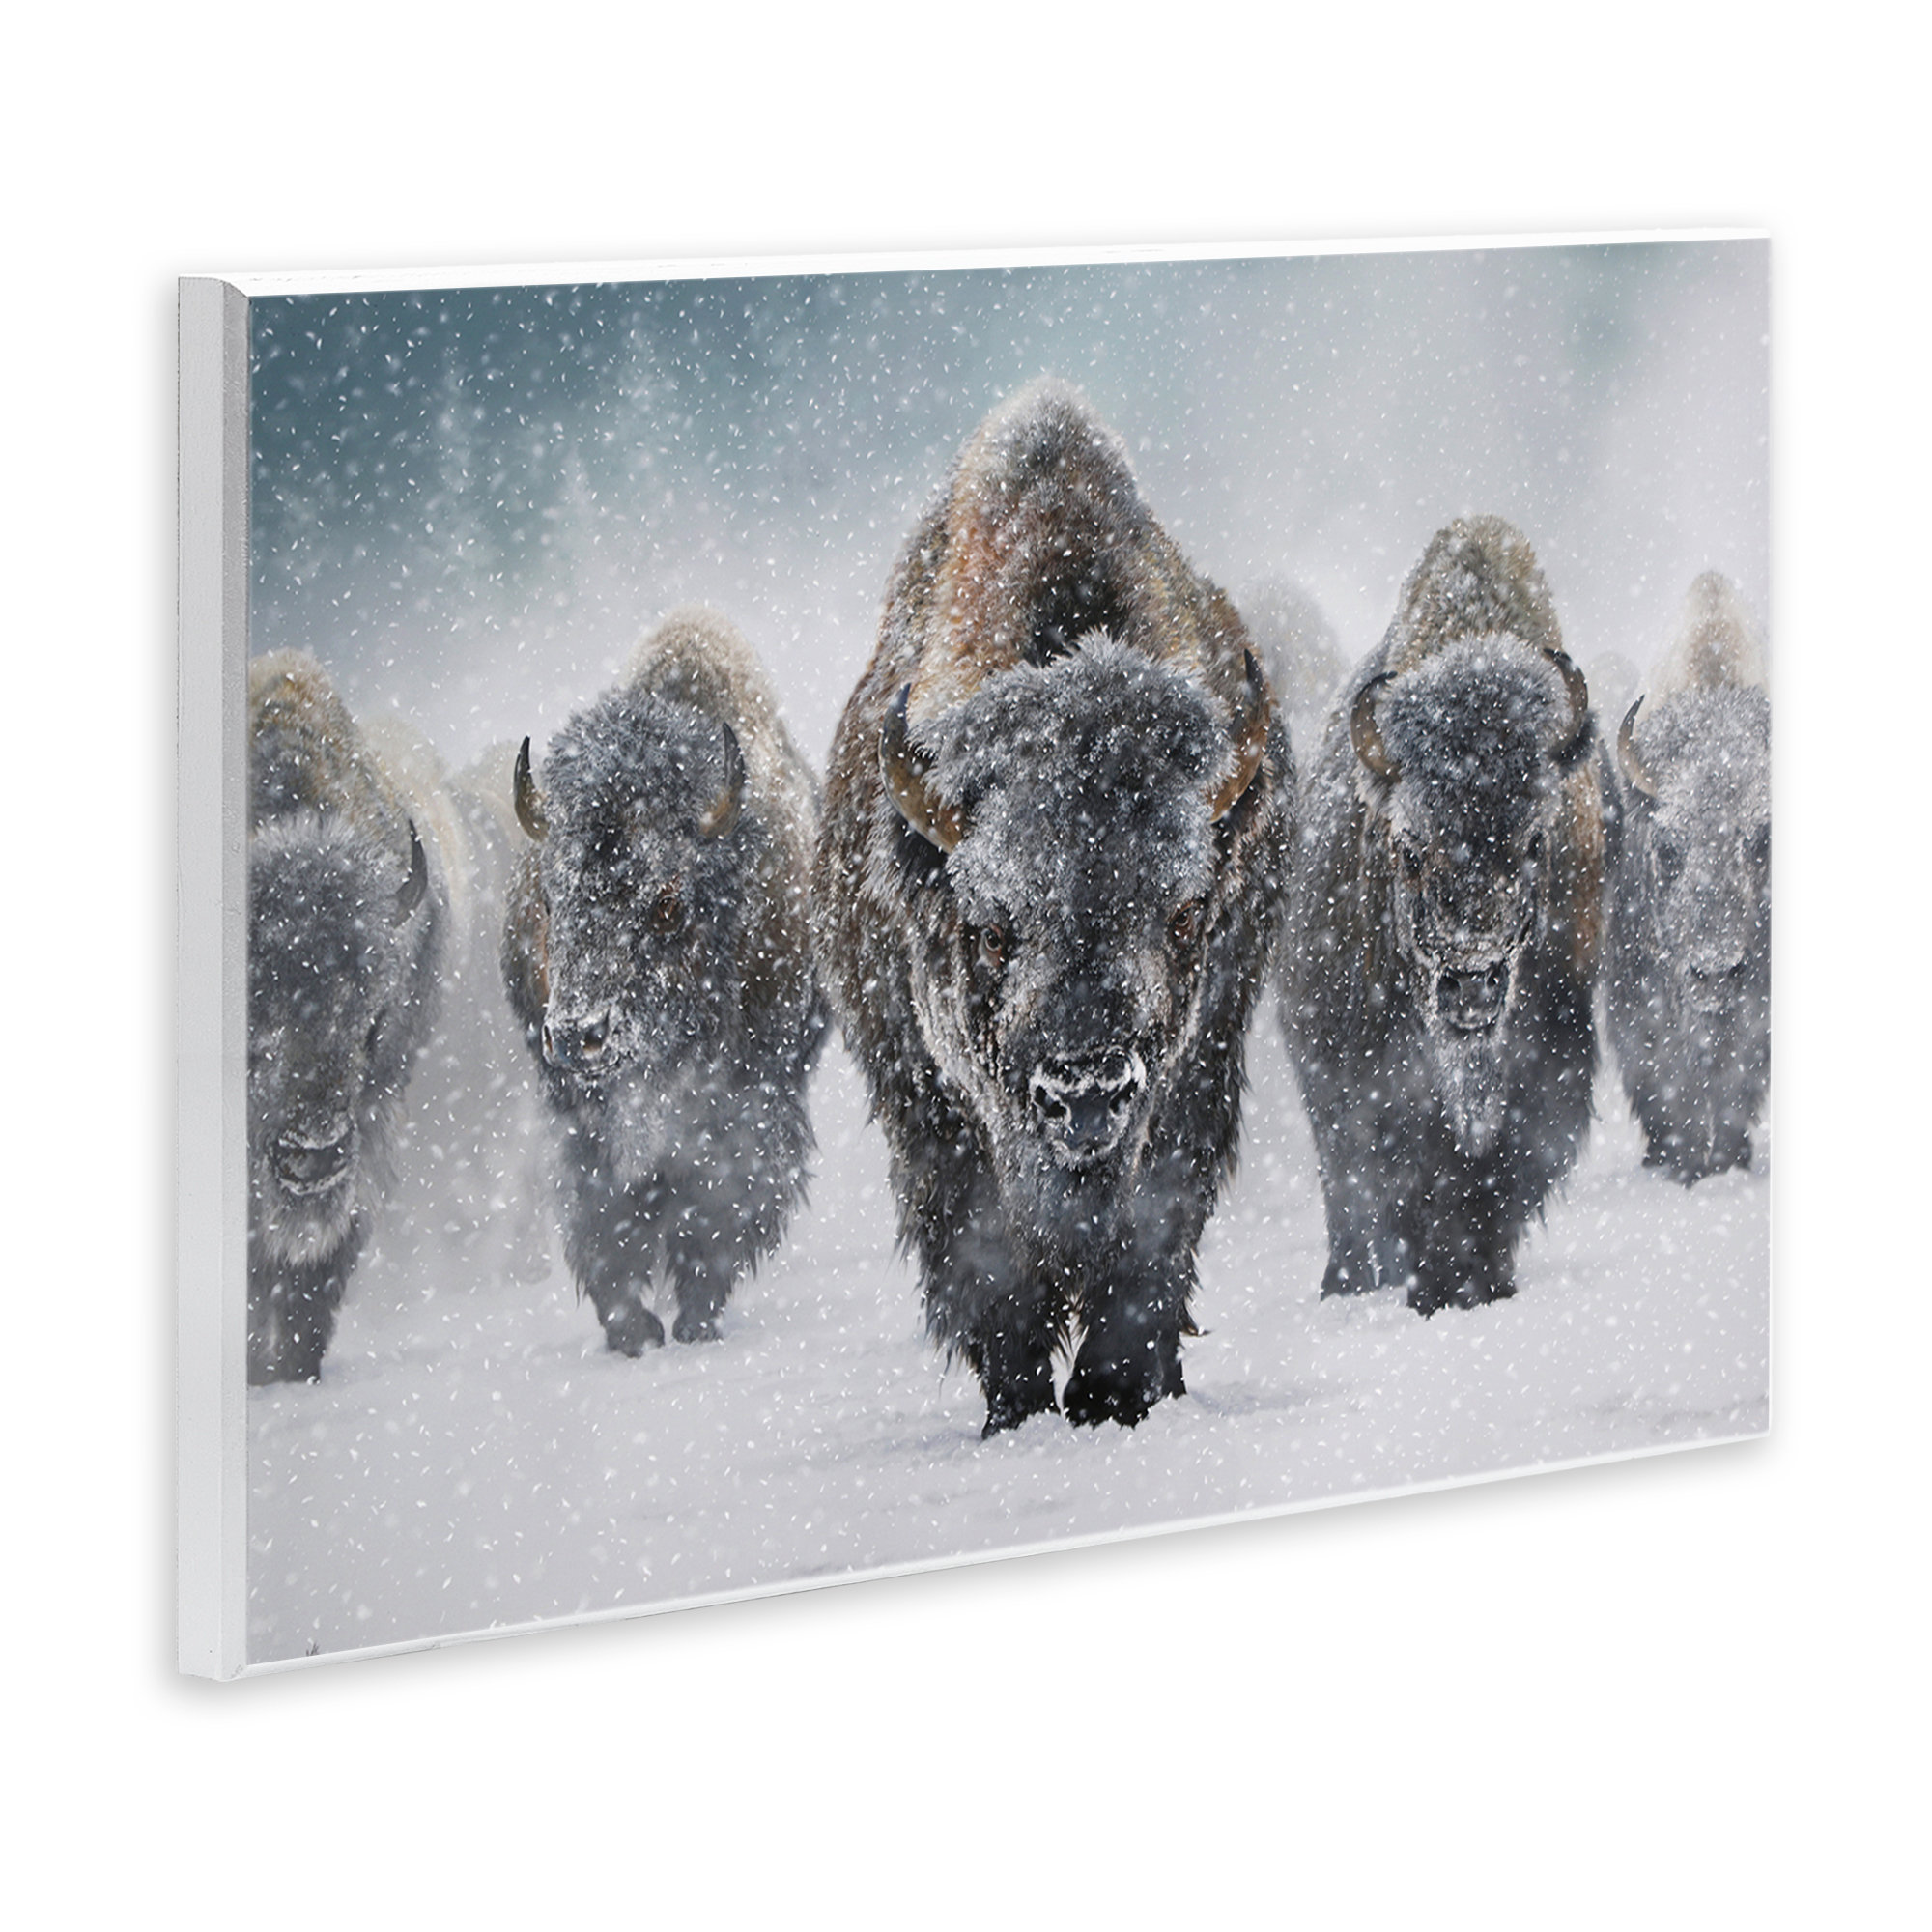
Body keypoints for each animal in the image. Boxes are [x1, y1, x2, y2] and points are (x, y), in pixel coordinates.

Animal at [502, 607, 825, 1354]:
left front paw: (694, 1319)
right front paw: (633, 1330)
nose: (578, 1035)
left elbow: (719, 1208)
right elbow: (602, 1219)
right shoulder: (577, 1115)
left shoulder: (753, 1103)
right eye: (551, 902)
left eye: (667, 904)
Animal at [813, 380, 1293, 1434]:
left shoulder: (1197, 1070)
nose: (1086, 1088)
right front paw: (1021, 1408)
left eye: (1184, 914)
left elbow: (1149, 1243)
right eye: (992, 928)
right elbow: (989, 1267)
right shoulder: (931, 1108)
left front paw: (1115, 1396)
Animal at [1281, 516, 1608, 1315]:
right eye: (1409, 847)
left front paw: (1479, 1281)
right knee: (1346, 1187)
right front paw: (1434, 1285)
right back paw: (1348, 1281)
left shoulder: (1551, 1057)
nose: (1471, 985)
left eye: (1535, 839)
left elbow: (1499, 1171)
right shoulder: (1370, 1067)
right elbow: (1407, 1167)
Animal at [1608, 572, 1771, 1181]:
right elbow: (1661, 1079)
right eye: (1668, 848)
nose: (1715, 971)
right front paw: (1674, 1161)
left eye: (1762, 841)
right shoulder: (1638, 1004)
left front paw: (1725, 1160)